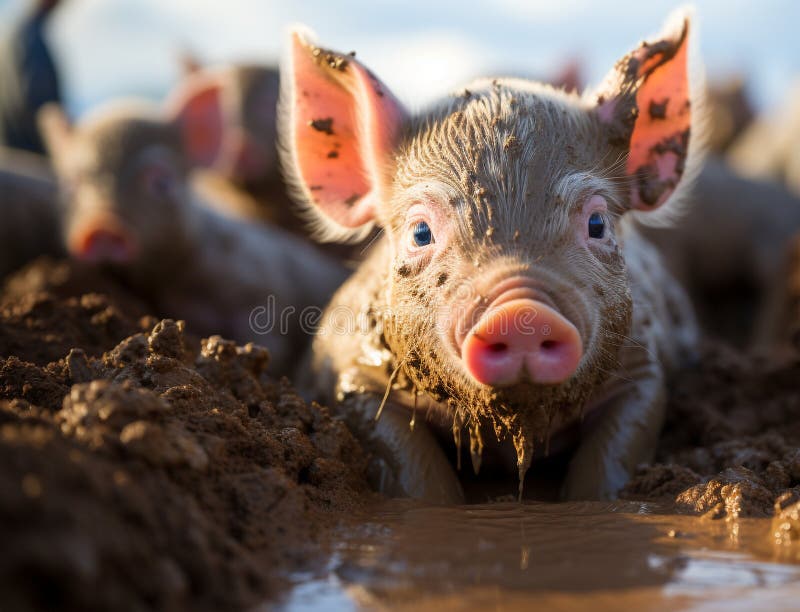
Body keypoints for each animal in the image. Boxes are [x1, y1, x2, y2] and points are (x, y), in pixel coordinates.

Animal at [280, 11, 702, 503]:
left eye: (597, 224)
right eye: (420, 232)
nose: (521, 313)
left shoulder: (643, 370)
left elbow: (607, 458)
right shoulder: (352, 374)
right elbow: (415, 468)